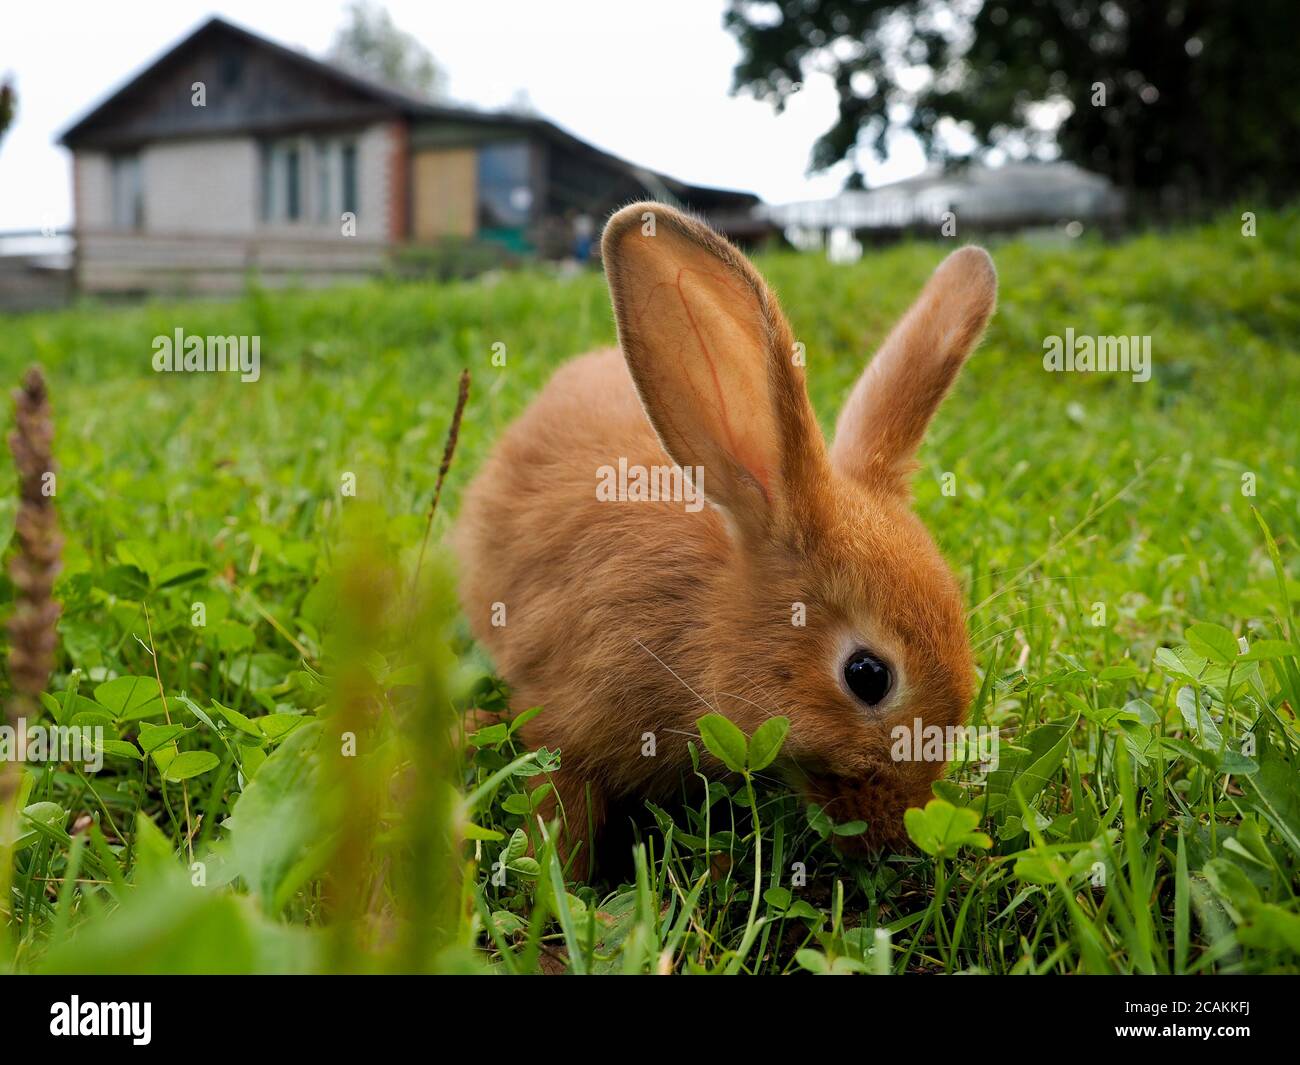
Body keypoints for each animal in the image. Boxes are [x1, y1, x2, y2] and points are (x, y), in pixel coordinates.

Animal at [454, 201, 996, 878]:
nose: (893, 835)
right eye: (868, 676)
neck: (702, 621)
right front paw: (566, 892)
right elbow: (558, 815)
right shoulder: (567, 721)